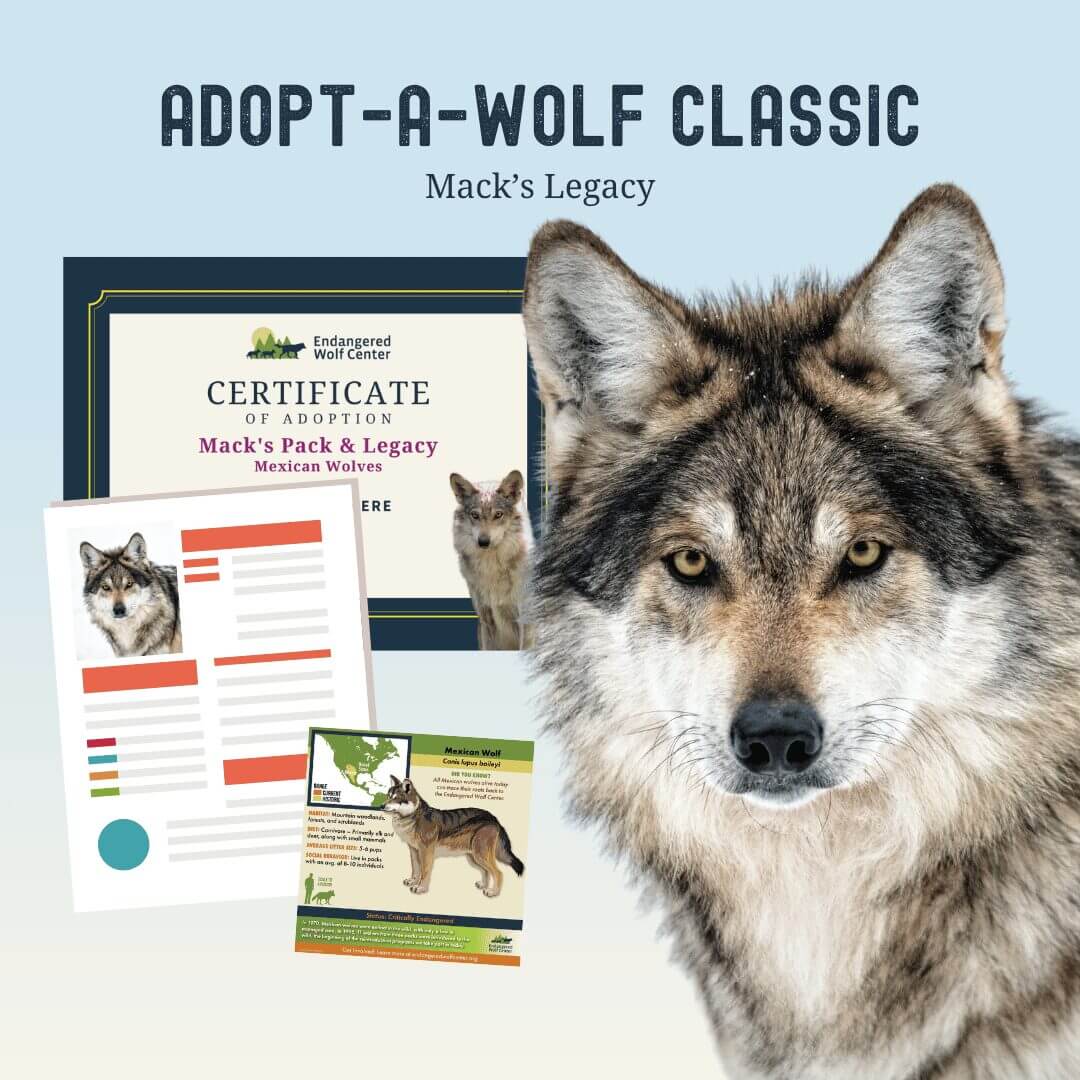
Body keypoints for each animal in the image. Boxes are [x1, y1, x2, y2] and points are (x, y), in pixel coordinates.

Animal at [382, 775, 525, 897]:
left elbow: (424, 872)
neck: (413, 817)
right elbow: (415, 869)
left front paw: (420, 888)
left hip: (480, 855)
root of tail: (494, 818)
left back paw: (493, 892)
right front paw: (412, 881)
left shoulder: (426, 852)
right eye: (388, 796)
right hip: (474, 857)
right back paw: (483, 885)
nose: (381, 806)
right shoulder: (414, 850)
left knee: (498, 873)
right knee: (486, 871)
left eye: (395, 798)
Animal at [450, 470, 533, 650]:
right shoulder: (486, 621)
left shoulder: (526, 624)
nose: (483, 542)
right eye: (475, 515)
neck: (491, 567)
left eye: (498, 515)